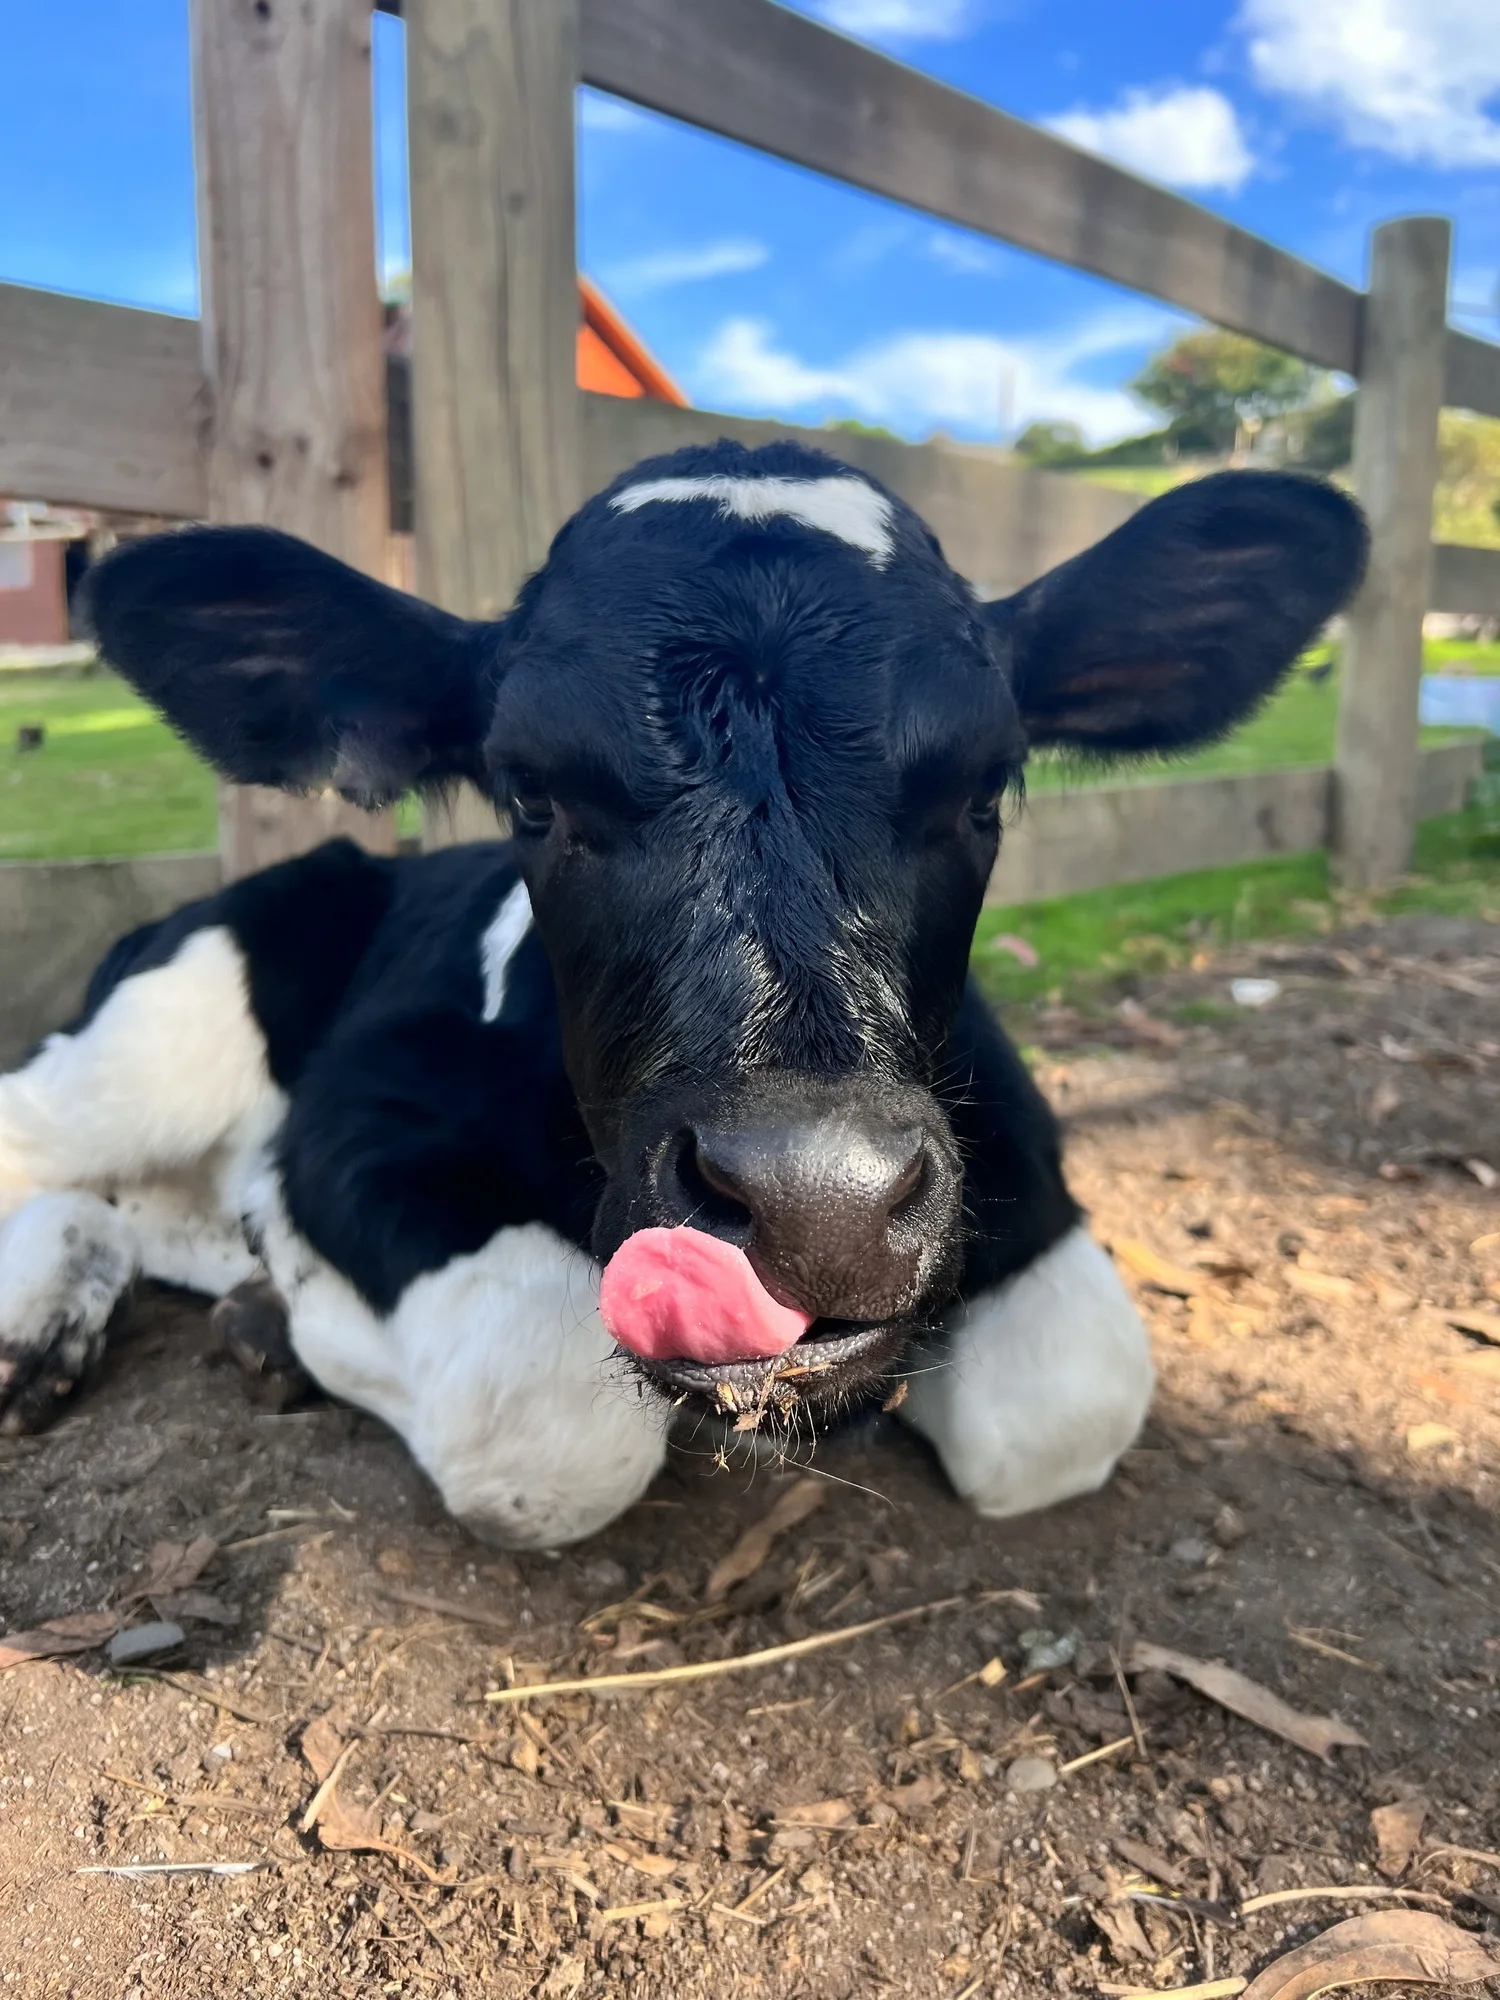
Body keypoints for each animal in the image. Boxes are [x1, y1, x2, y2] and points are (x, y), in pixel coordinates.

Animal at [0, 442, 1366, 1546]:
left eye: (985, 790)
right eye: (532, 793)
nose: (819, 1203)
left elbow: (1066, 1407)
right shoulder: (355, 1116)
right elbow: (551, 1429)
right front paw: (300, 1299)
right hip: (160, 1031)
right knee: (39, 1141)